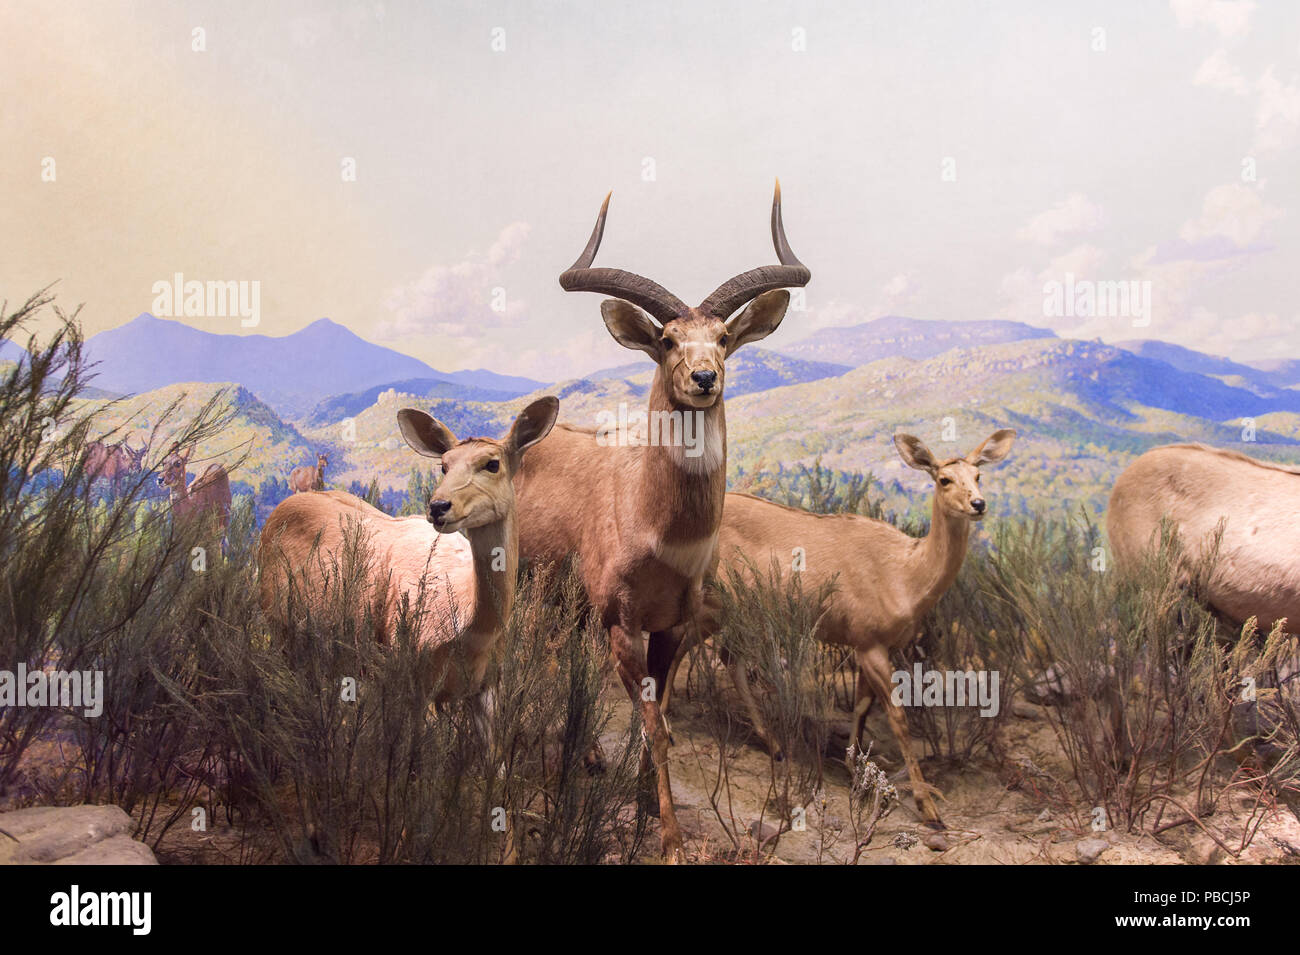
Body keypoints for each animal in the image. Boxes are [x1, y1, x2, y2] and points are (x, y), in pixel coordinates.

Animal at [258, 397, 558, 704]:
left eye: (492, 463)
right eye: (444, 466)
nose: (438, 506)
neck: (473, 632)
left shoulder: (488, 688)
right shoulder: (408, 676)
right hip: (279, 629)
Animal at [514, 181, 810, 861]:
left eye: (723, 337)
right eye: (669, 338)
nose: (704, 377)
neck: (657, 533)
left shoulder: (673, 626)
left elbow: (665, 717)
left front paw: (649, 805)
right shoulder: (621, 622)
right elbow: (652, 723)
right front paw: (670, 838)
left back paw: (589, 760)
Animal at [665, 429, 1017, 828]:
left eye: (979, 475)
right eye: (944, 479)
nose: (978, 503)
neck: (906, 578)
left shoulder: (869, 641)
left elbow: (862, 709)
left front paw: (854, 770)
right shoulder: (870, 640)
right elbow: (898, 717)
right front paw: (929, 808)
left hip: (737, 607)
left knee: (725, 656)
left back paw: (774, 745)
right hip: (715, 598)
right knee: (680, 641)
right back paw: (668, 726)